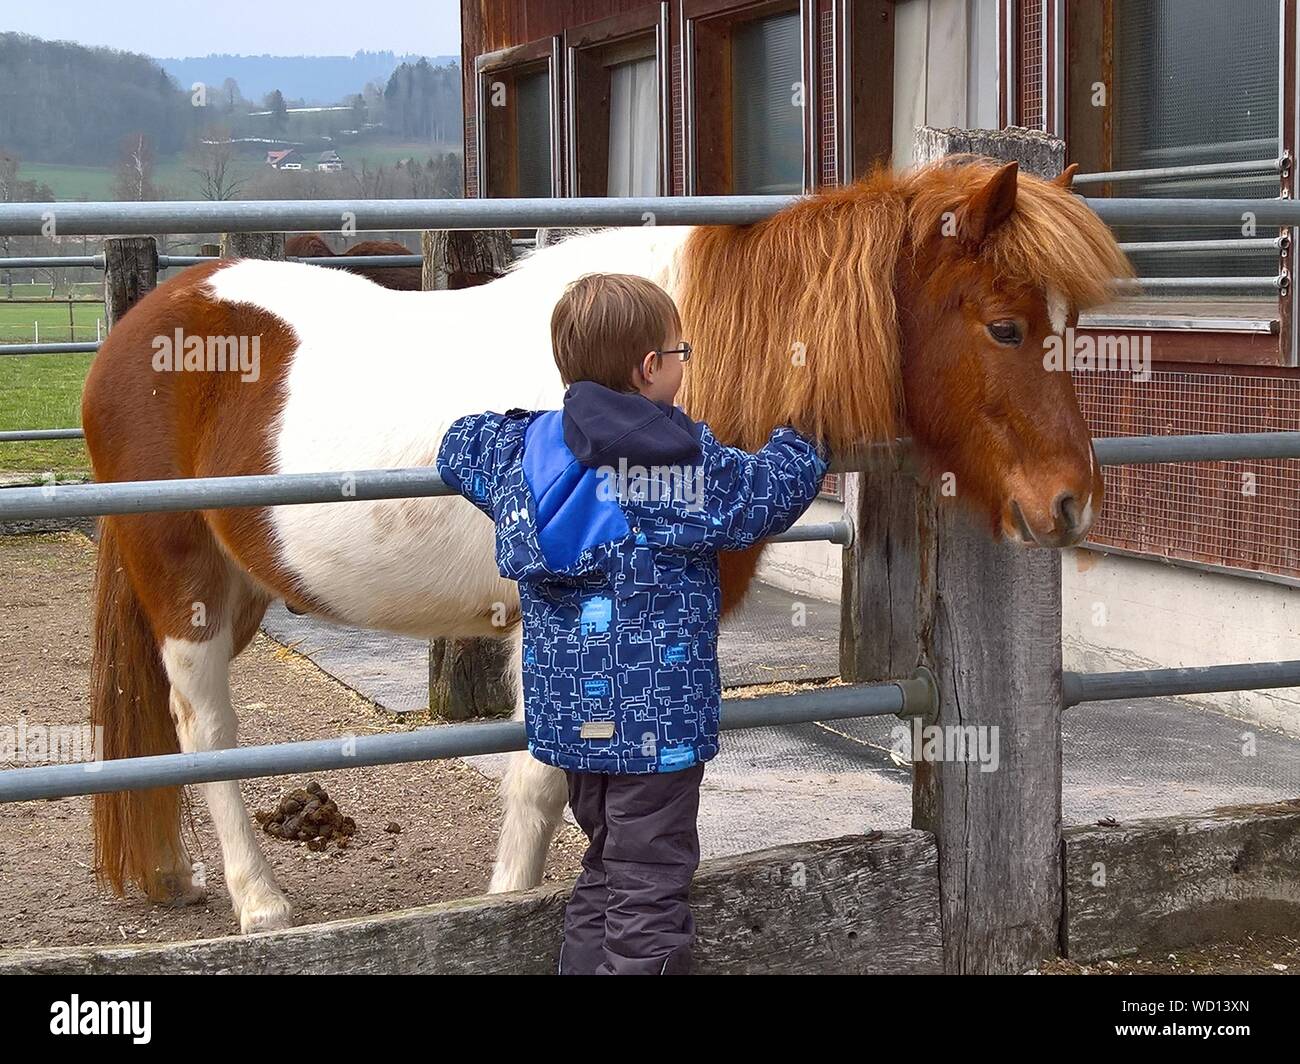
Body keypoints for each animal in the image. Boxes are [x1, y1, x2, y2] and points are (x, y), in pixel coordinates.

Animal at [80, 159, 1130, 933]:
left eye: (1071, 325)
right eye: (1006, 327)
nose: (1071, 503)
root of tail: (142, 327)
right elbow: (537, 790)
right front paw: (503, 909)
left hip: (241, 587)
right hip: (183, 584)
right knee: (205, 730)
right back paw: (260, 903)